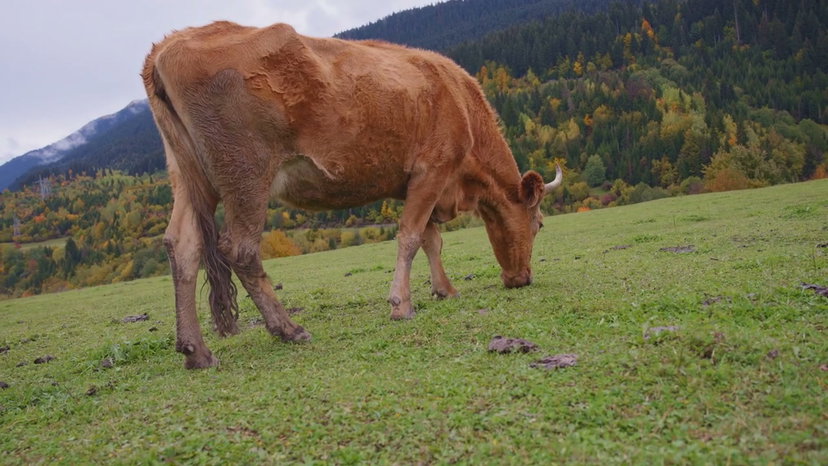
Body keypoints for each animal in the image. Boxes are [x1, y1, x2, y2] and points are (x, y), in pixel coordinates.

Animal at [142, 21, 562, 369]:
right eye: (539, 224)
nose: (522, 278)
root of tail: (167, 45)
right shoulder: (433, 170)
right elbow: (410, 237)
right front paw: (401, 305)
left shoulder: (413, 182)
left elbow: (431, 240)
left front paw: (444, 290)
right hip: (246, 174)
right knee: (240, 249)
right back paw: (288, 329)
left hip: (188, 177)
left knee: (183, 246)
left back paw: (196, 351)